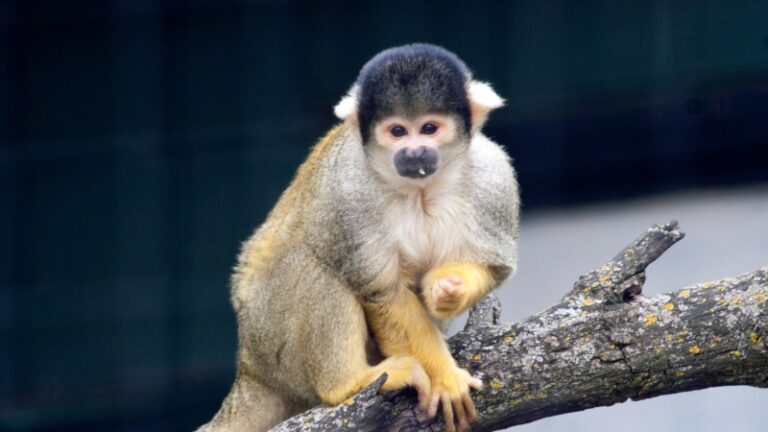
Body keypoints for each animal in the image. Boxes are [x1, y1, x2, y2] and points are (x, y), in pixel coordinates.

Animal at [197, 43, 519, 432]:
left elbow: (492, 268)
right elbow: (382, 291)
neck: (420, 189)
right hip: (270, 336)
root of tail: (249, 369)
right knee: (311, 261)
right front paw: (445, 378)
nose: (414, 153)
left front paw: (447, 290)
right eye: (397, 131)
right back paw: (346, 384)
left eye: (429, 128)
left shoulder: (494, 177)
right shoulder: (350, 189)